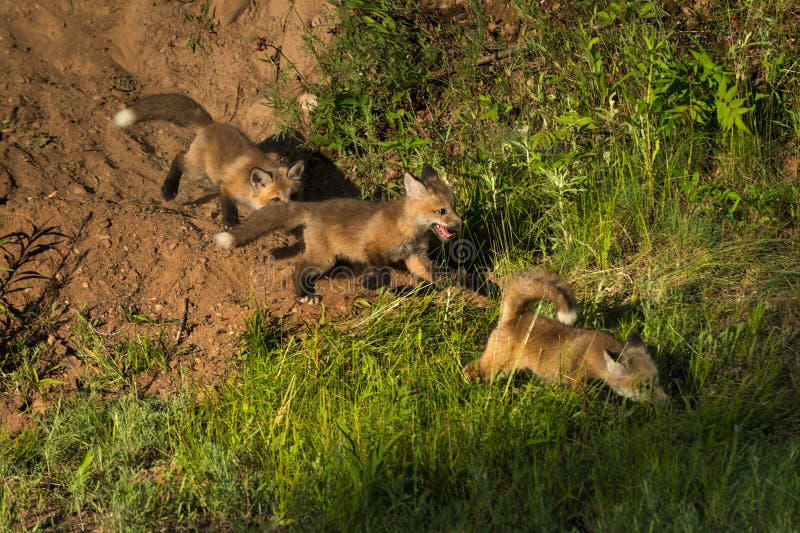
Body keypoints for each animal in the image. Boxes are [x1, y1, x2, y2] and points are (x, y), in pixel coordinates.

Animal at [112, 93, 305, 225]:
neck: (248, 188)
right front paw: (231, 224)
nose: (293, 215)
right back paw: (169, 189)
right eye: (276, 200)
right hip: (196, 170)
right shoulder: (227, 187)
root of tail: (211, 125)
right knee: (179, 157)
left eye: (294, 196)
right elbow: (229, 208)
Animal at [213, 164, 462, 303]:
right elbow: (384, 273)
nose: (460, 224)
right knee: (298, 267)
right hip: (324, 258)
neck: (409, 227)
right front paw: (372, 285)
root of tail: (315, 207)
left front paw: (450, 285)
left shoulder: (414, 256)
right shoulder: (373, 248)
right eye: (442, 211)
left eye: (454, 206)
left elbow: (433, 275)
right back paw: (304, 295)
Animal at [463, 269, 667, 403]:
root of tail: (516, 316)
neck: (595, 355)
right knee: (470, 368)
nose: (666, 401)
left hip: (505, 369)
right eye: (645, 386)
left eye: (657, 381)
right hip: (495, 364)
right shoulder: (578, 383)